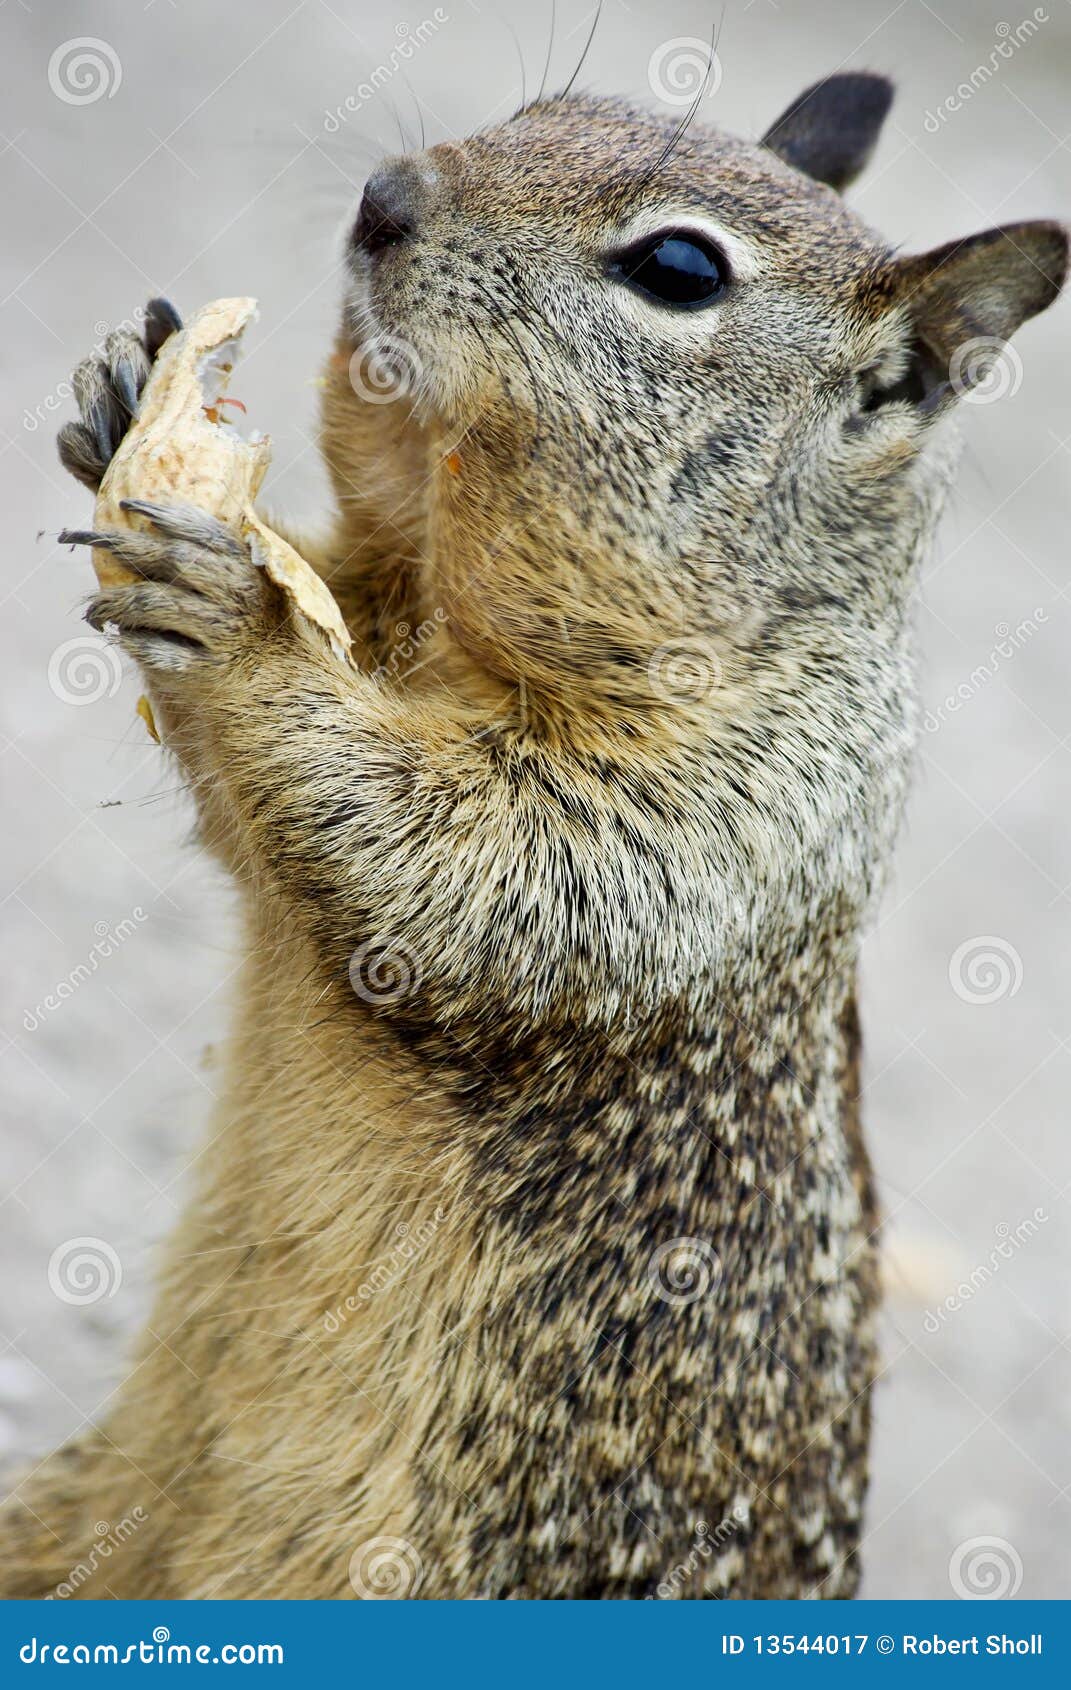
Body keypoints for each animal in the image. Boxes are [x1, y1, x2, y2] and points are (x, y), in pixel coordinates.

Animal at [2, 75, 1065, 1600]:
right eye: (547, 104)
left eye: (678, 269)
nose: (383, 196)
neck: (458, 612)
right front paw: (124, 391)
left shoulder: (730, 811)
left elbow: (452, 874)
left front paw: (241, 625)